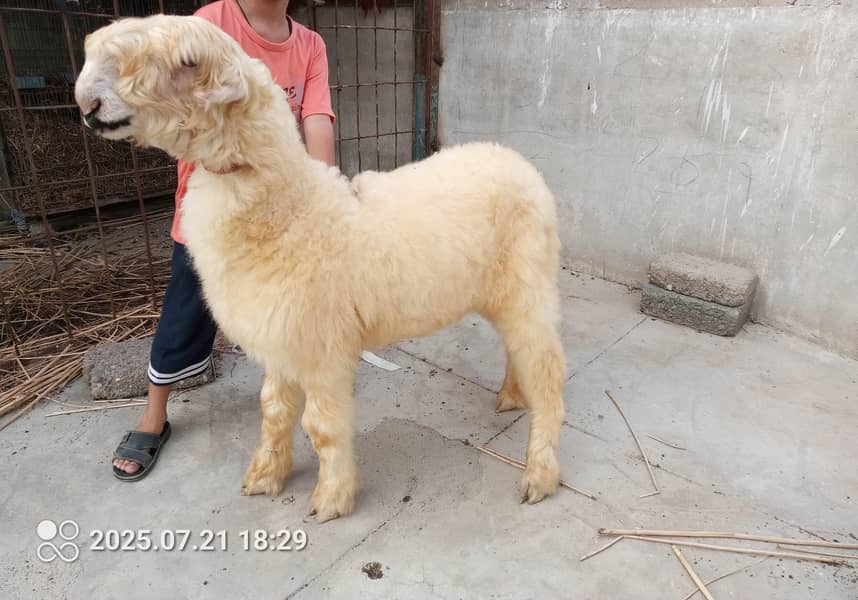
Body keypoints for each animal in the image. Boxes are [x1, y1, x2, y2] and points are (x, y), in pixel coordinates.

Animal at [75, 15, 567, 522]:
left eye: (187, 63)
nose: (88, 104)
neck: (295, 211)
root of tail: (519, 162)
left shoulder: (322, 346)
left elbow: (322, 427)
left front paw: (331, 498)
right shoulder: (281, 339)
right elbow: (273, 411)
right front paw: (264, 477)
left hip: (530, 281)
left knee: (548, 371)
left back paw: (539, 472)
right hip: (505, 291)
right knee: (521, 351)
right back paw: (513, 395)